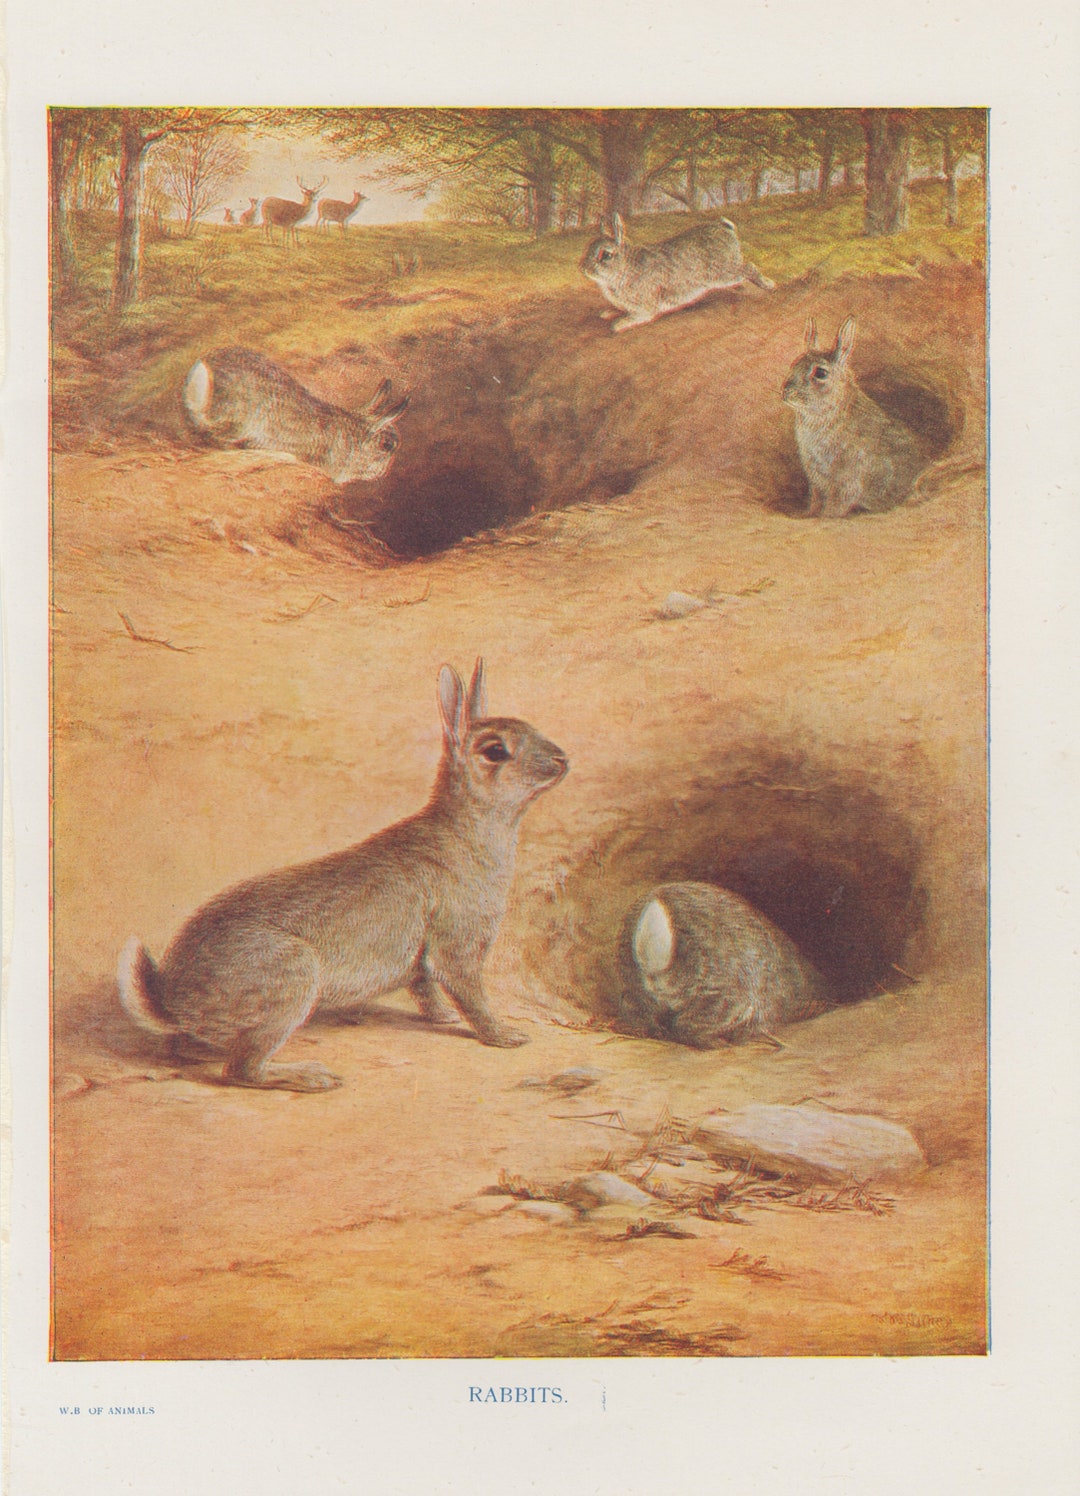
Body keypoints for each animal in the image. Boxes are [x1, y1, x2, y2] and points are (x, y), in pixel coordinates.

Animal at [117, 660, 569, 1092]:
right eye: (495, 751)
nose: (563, 760)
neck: (470, 826)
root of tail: (174, 1004)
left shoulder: (423, 958)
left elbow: (426, 989)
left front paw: (444, 1019)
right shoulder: (456, 943)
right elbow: (470, 995)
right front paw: (506, 1036)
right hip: (293, 979)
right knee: (242, 1070)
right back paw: (313, 1077)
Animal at [580, 213, 775, 332]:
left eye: (606, 255)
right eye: (589, 247)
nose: (583, 268)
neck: (626, 267)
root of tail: (726, 228)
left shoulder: (645, 308)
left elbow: (639, 316)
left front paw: (618, 324)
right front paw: (607, 313)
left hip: (721, 273)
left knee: (749, 267)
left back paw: (769, 285)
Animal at [782, 316, 934, 517]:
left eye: (820, 373)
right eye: (794, 364)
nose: (786, 392)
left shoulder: (846, 480)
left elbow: (835, 507)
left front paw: (824, 517)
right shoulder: (816, 481)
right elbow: (815, 501)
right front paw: (806, 515)